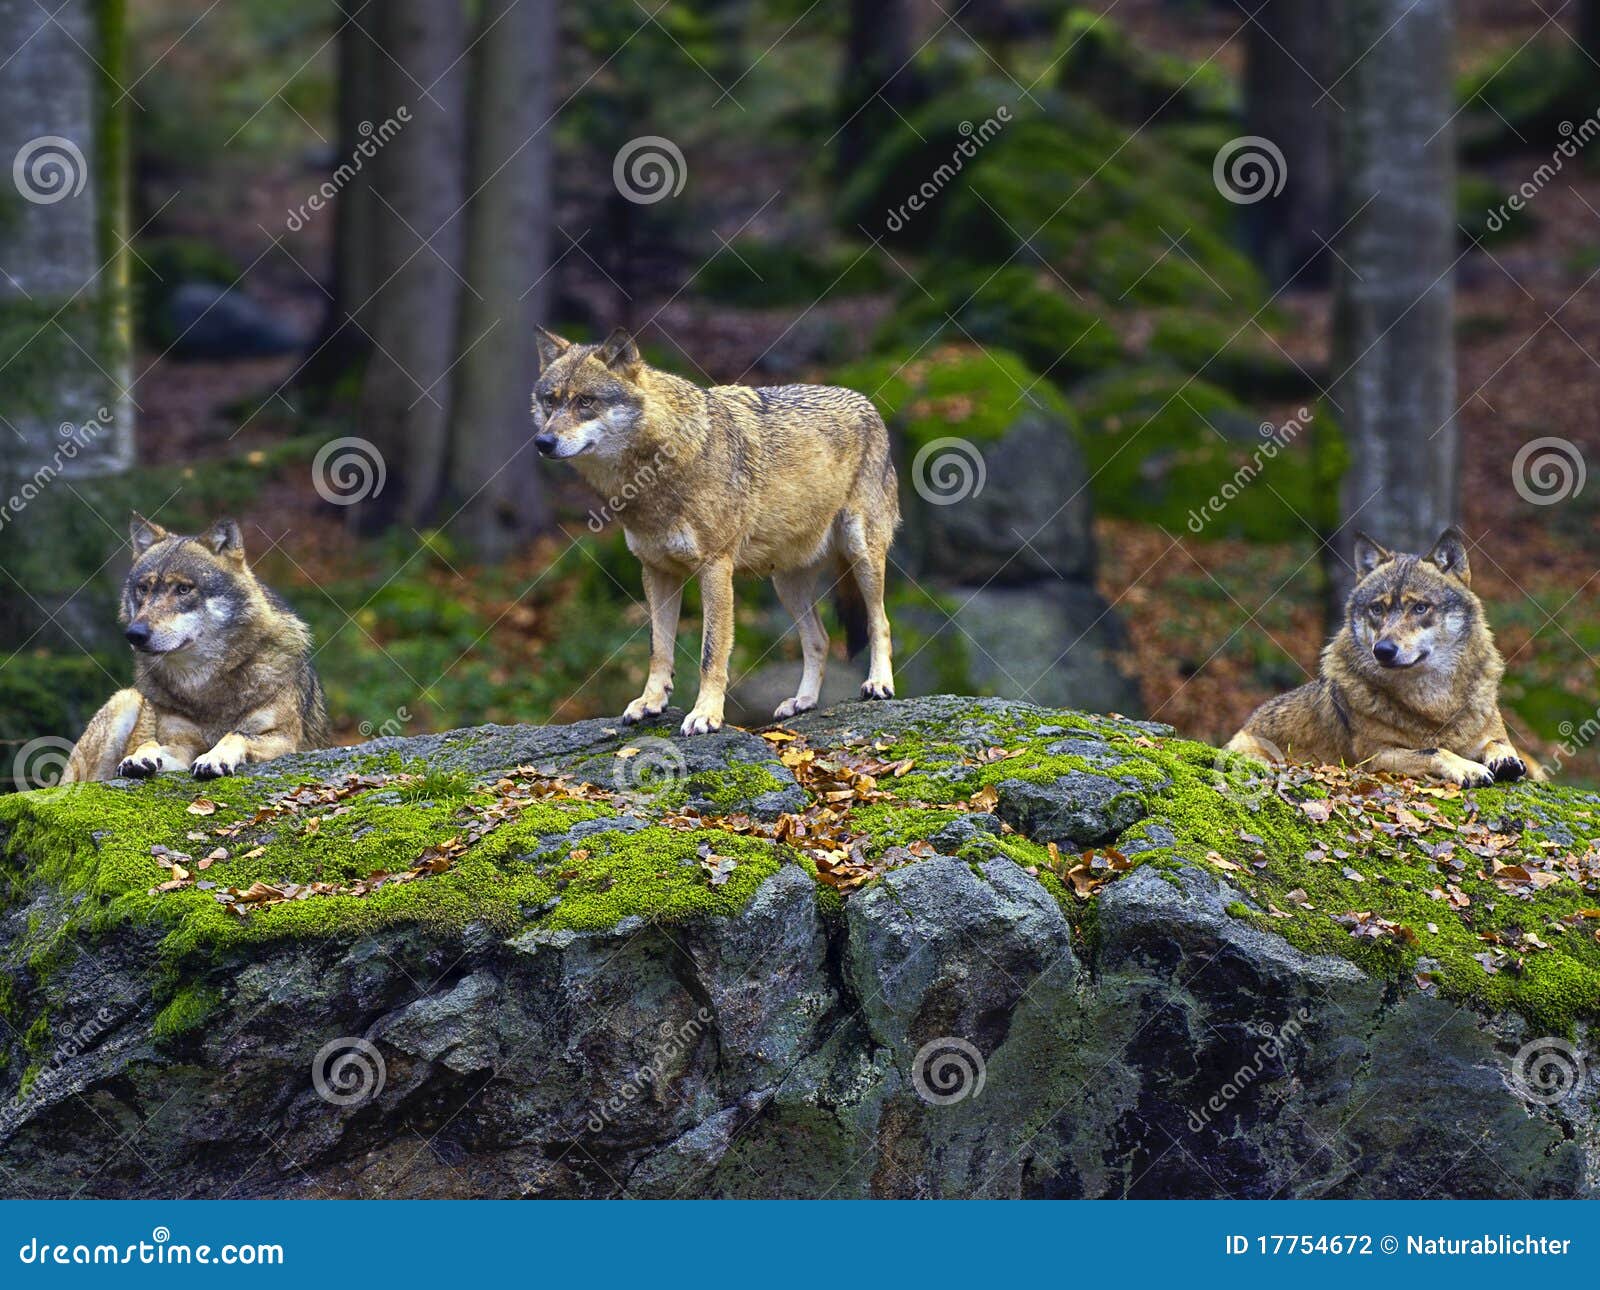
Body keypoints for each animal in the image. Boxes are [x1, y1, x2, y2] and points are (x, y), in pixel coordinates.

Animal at [61, 515, 329, 783]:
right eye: (143, 588)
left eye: (183, 589)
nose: (135, 634)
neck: (201, 681)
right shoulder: (180, 746)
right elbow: (151, 743)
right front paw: (139, 757)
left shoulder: (285, 740)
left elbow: (237, 734)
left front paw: (214, 757)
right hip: (125, 699)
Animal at [532, 327, 899, 736]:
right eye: (550, 401)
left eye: (585, 401)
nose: (543, 442)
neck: (655, 473)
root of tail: (865, 400)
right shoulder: (656, 571)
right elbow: (659, 649)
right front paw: (650, 702)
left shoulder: (715, 569)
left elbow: (712, 653)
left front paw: (706, 714)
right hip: (787, 586)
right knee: (819, 640)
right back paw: (801, 702)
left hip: (861, 553)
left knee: (880, 622)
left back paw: (879, 683)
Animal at [1227, 527, 1543, 787]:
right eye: (1377, 609)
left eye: (1419, 607)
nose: (1383, 650)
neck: (1433, 701)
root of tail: (1245, 725)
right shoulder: (1375, 757)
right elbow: (1433, 749)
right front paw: (1467, 768)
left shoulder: (1490, 734)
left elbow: (1500, 744)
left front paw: (1504, 760)